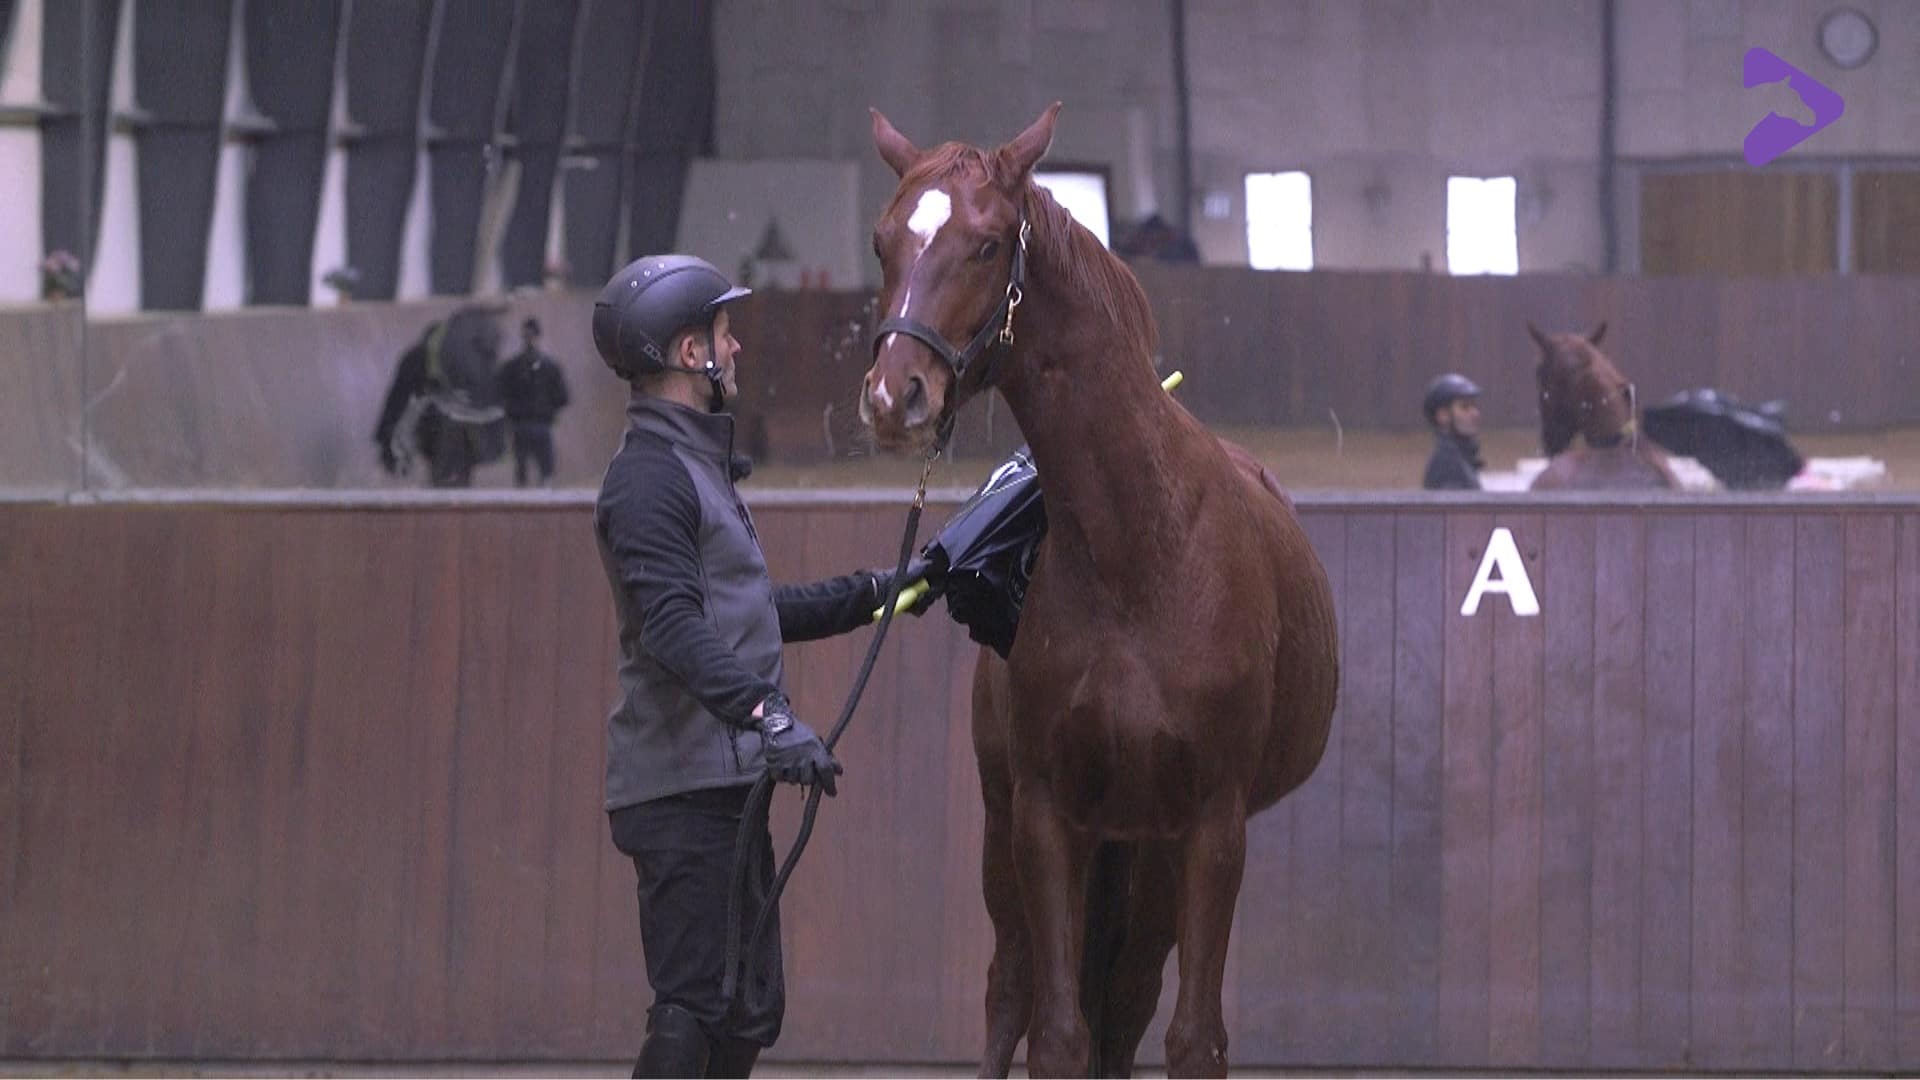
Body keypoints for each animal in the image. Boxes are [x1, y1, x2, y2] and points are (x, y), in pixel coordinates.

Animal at [857, 103, 1340, 1078]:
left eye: (987, 244)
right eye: (884, 241)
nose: (895, 398)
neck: (1140, 556)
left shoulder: (1210, 826)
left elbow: (1189, 1038)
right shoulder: (1047, 817)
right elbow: (1056, 1033)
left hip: (1144, 850)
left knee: (1127, 996)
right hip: (1013, 826)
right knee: (1013, 988)